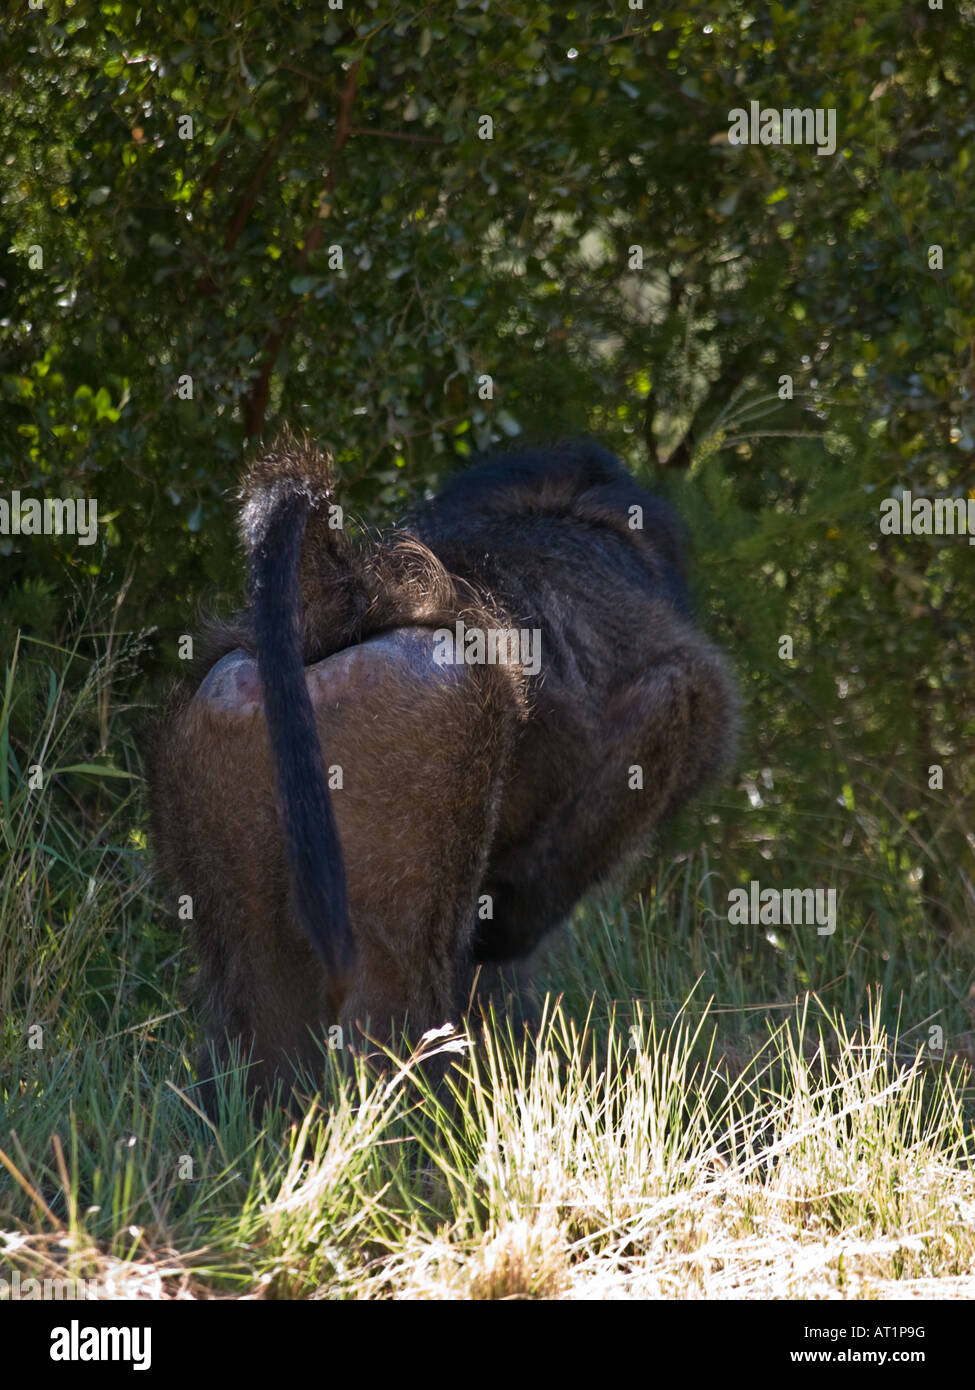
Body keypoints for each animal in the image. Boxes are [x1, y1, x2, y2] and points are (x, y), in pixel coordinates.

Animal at [148, 432, 738, 1108]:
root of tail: (343, 599)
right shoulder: (686, 701)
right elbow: (669, 704)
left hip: (224, 730)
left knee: (257, 1005)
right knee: (400, 993)